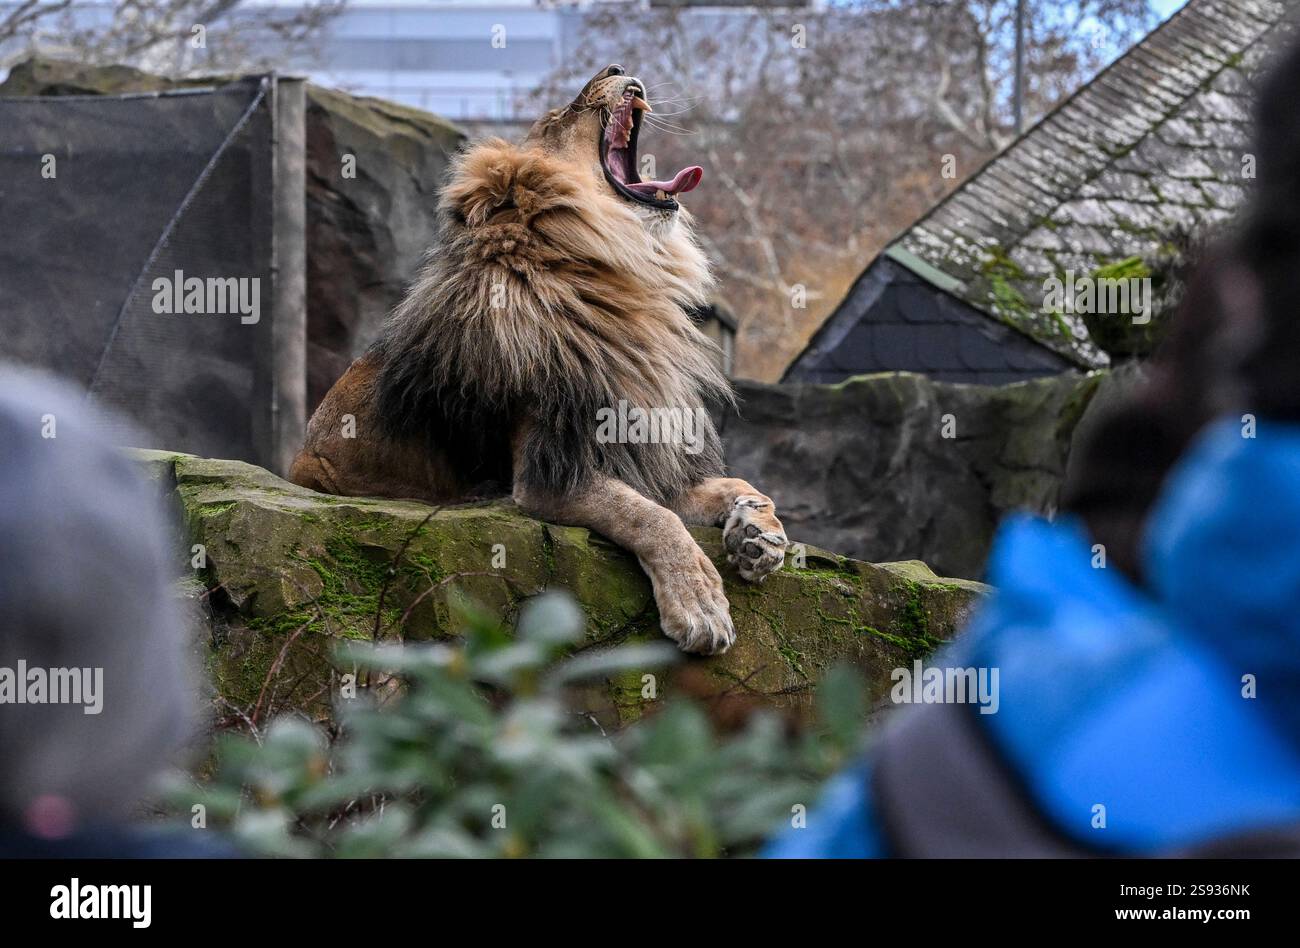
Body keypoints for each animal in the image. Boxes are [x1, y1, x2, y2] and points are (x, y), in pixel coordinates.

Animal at [289, 65, 788, 655]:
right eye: (561, 114)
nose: (615, 68)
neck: (618, 278)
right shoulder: (549, 471)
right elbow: (653, 517)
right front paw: (700, 605)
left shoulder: (641, 451)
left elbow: (739, 486)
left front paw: (762, 536)